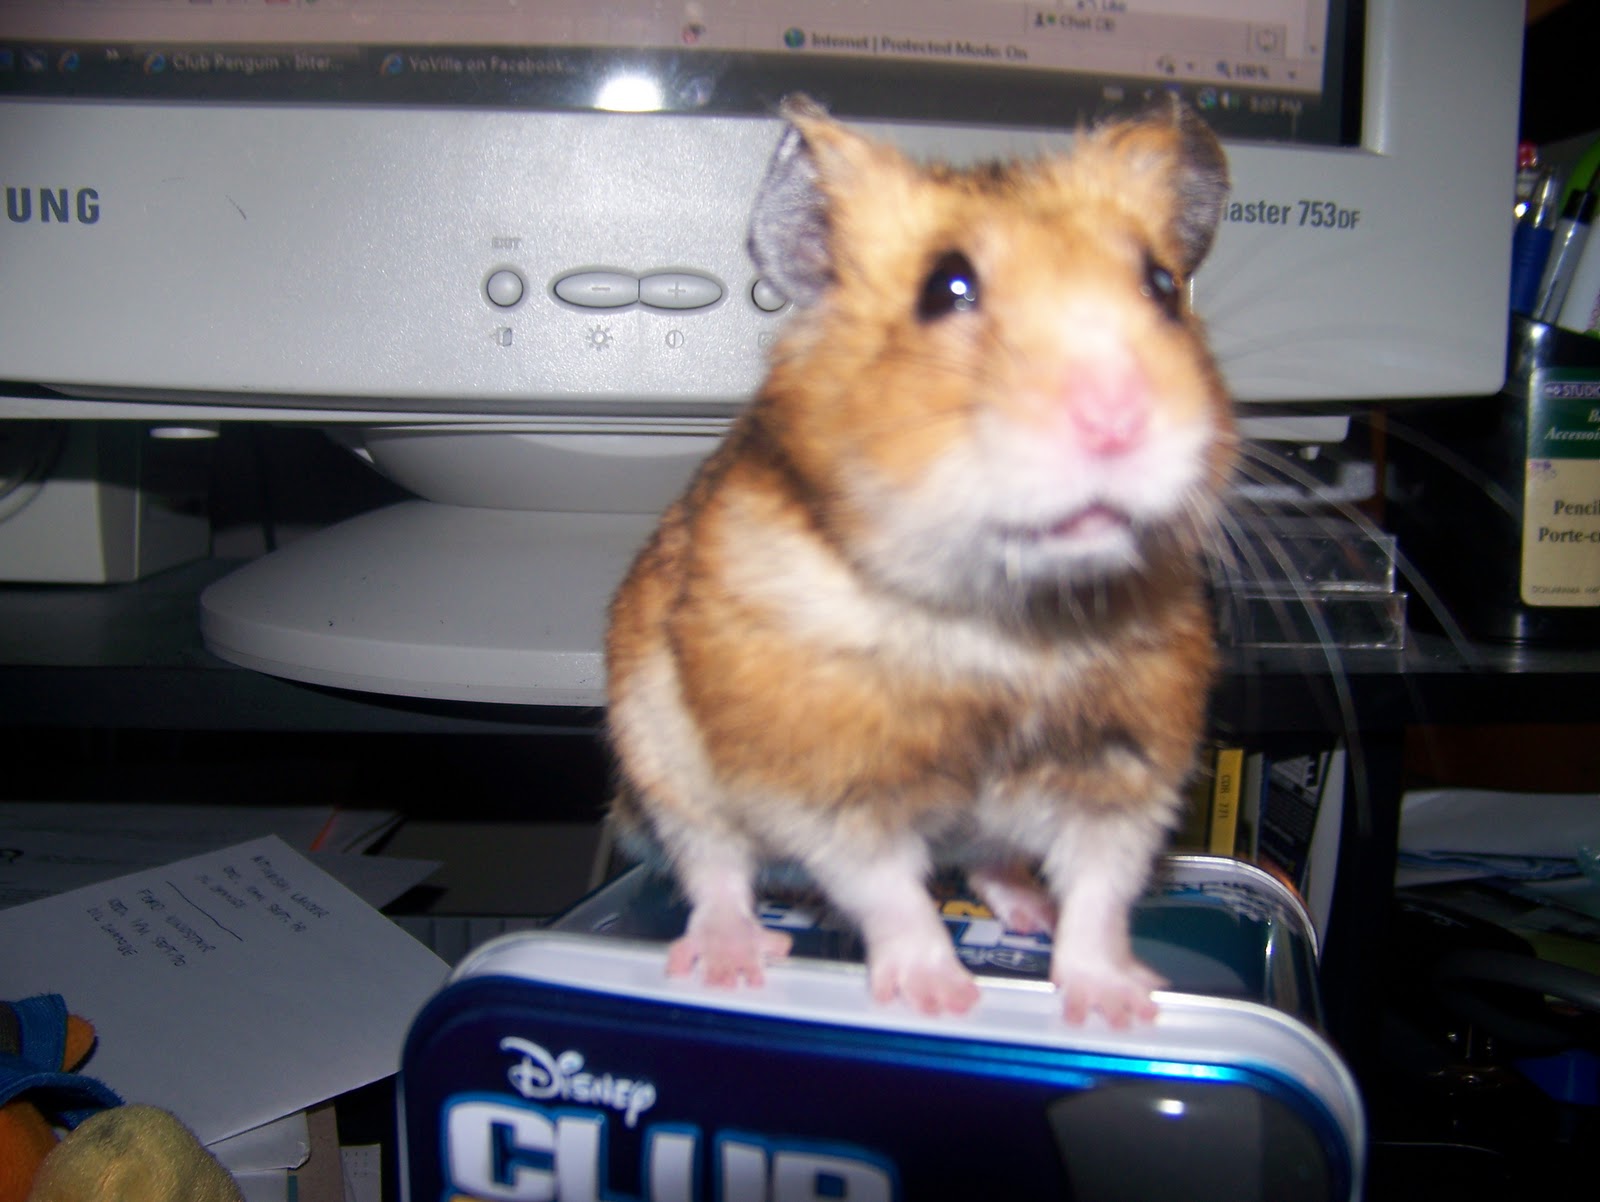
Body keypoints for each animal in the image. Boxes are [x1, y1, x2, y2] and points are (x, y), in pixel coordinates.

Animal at [604, 95, 1233, 1026]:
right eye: (946, 287)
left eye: (1162, 287)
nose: (1119, 420)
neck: (1008, 620)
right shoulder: (826, 778)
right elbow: (888, 892)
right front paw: (941, 1000)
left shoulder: (1125, 768)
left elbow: (1101, 893)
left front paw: (1120, 1006)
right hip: (662, 758)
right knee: (713, 865)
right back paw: (732, 961)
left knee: (992, 861)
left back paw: (1030, 913)